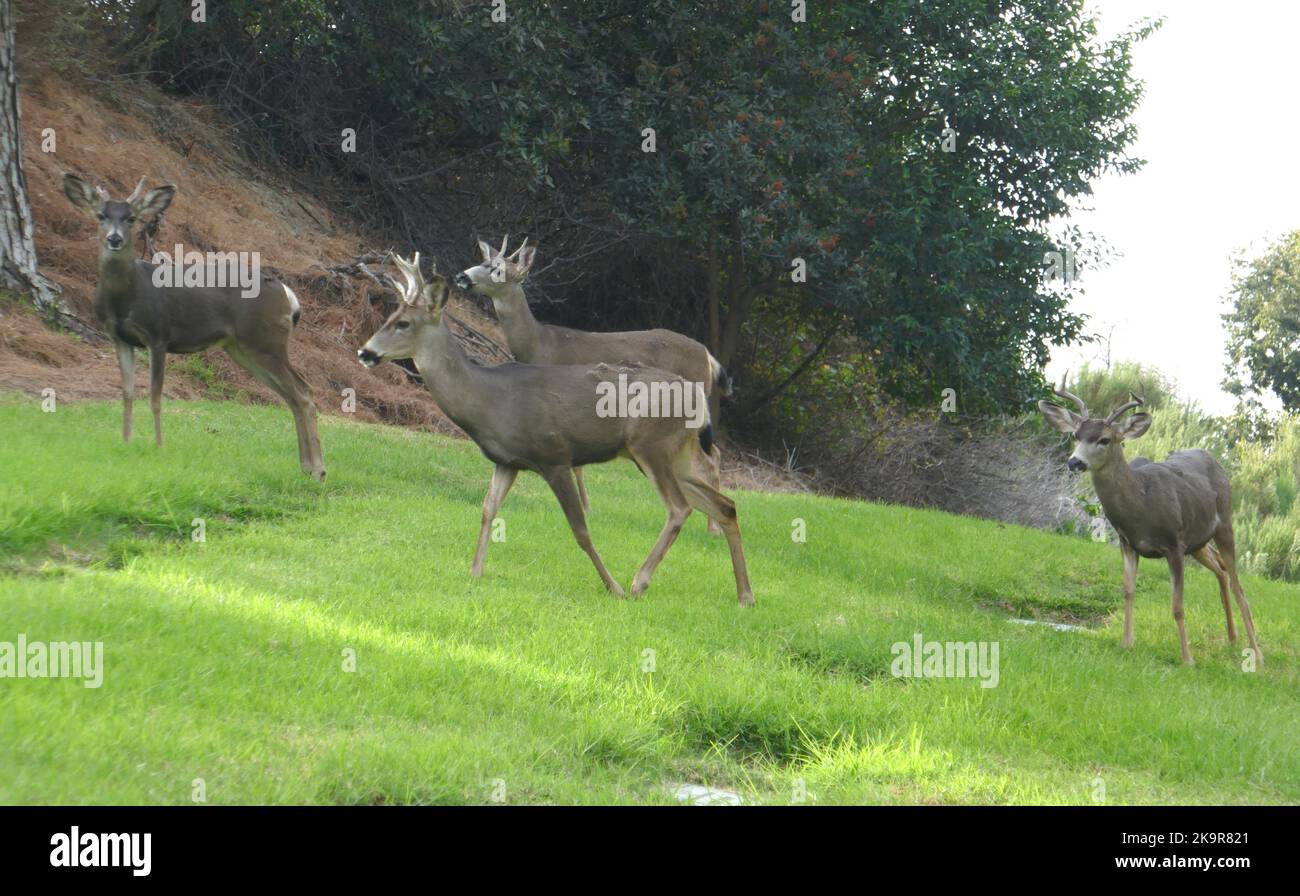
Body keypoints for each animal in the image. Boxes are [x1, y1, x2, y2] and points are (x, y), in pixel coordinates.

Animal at [62, 173, 325, 480]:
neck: (127, 295)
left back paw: (318, 469)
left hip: (266, 342)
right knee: (291, 395)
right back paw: (306, 467)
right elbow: (127, 392)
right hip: (244, 349)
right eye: (101, 216)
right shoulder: (120, 338)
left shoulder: (158, 333)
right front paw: (125, 442)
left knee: (303, 391)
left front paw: (159, 446)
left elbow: (155, 396)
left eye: (131, 218)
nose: (114, 239)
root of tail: (288, 295)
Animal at [454, 236, 730, 534]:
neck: (541, 344)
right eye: (482, 261)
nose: (461, 276)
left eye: (498, 270)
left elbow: (576, 464)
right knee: (713, 453)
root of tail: (708, 356)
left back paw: (713, 527)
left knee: (710, 457)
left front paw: (585, 507)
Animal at [1039, 377, 1261, 665]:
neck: (1141, 505)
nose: (1074, 462)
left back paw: (1257, 653)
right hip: (1198, 541)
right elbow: (1128, 591)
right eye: (1076, 435)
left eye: (1104, 439)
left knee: (1237, 584)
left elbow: (1177, 606)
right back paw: (1232, 639)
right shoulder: (1128, 543)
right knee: (1221, 571)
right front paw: (1126, 643)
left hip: (1224, 522)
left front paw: (1187, 660)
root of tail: (1216, 461)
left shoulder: (1174, 544)